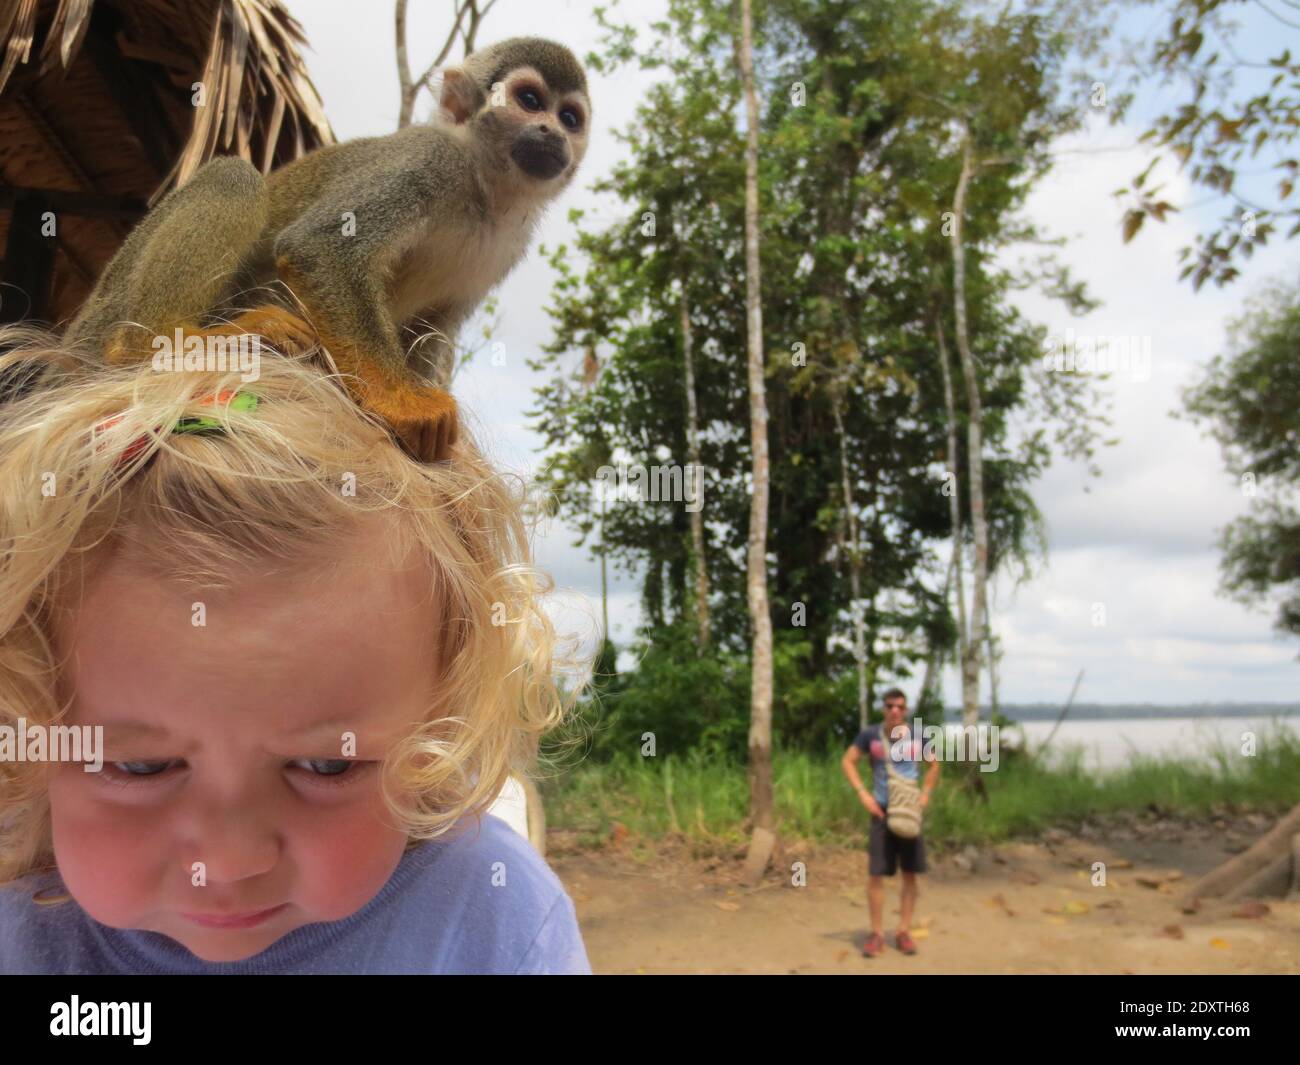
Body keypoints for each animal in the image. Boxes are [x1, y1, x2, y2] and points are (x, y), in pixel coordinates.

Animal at [63, 37, 590, 462]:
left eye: (569, 117)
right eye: (529, 100)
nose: (552, 132)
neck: (485, 188)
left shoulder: (510, 244)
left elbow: (431, 327)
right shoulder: (428, 158)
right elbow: (318, 246)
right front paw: (403, 404)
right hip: (112, 304)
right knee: (234, 179)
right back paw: (158, 340)